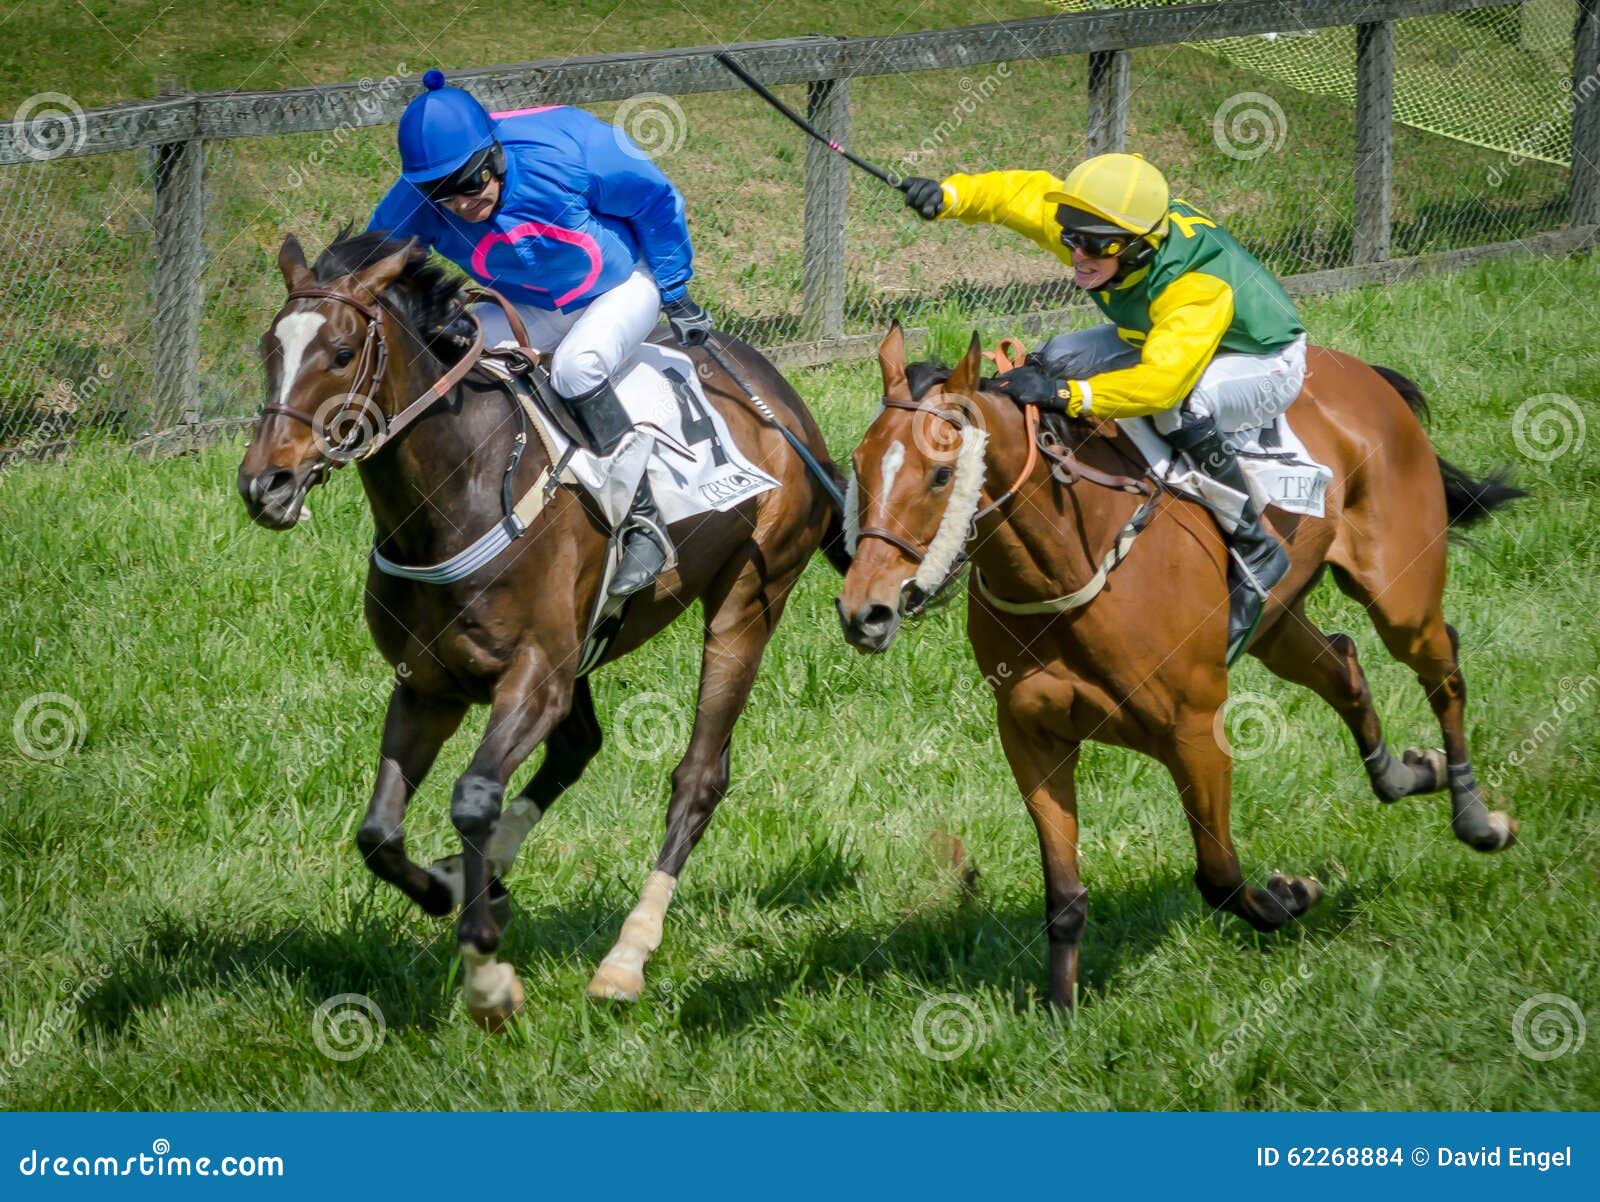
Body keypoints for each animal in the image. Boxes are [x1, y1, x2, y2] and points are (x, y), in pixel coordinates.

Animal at [237, 229, 848, 1029]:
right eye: (267, 349)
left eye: (340, 353)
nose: (264, 485)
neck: (458, 490)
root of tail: (784, 404)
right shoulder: (429, 683)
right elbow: (377, 832)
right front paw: (454, 887)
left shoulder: (532, 678)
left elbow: (472, 796)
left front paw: (487, 974)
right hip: (583, 647)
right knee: (577, 745)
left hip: (750, 596)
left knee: (698, 777)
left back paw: (625, 958)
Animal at [837, 323, 1522, 1009]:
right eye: (858, 466)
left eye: (940, 474)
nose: (864, 612)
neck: (1071, 566)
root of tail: (1368, 375)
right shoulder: (1031, 736)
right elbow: (1064, 897)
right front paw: (1060, 1012)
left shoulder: (1194, 729)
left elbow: (1218, 874)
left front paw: (1292, 894)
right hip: (1277, 625)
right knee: (1345, 667)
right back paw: (1409, 774)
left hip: (1400, 597)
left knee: (1443, 671)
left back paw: (1476, 816)